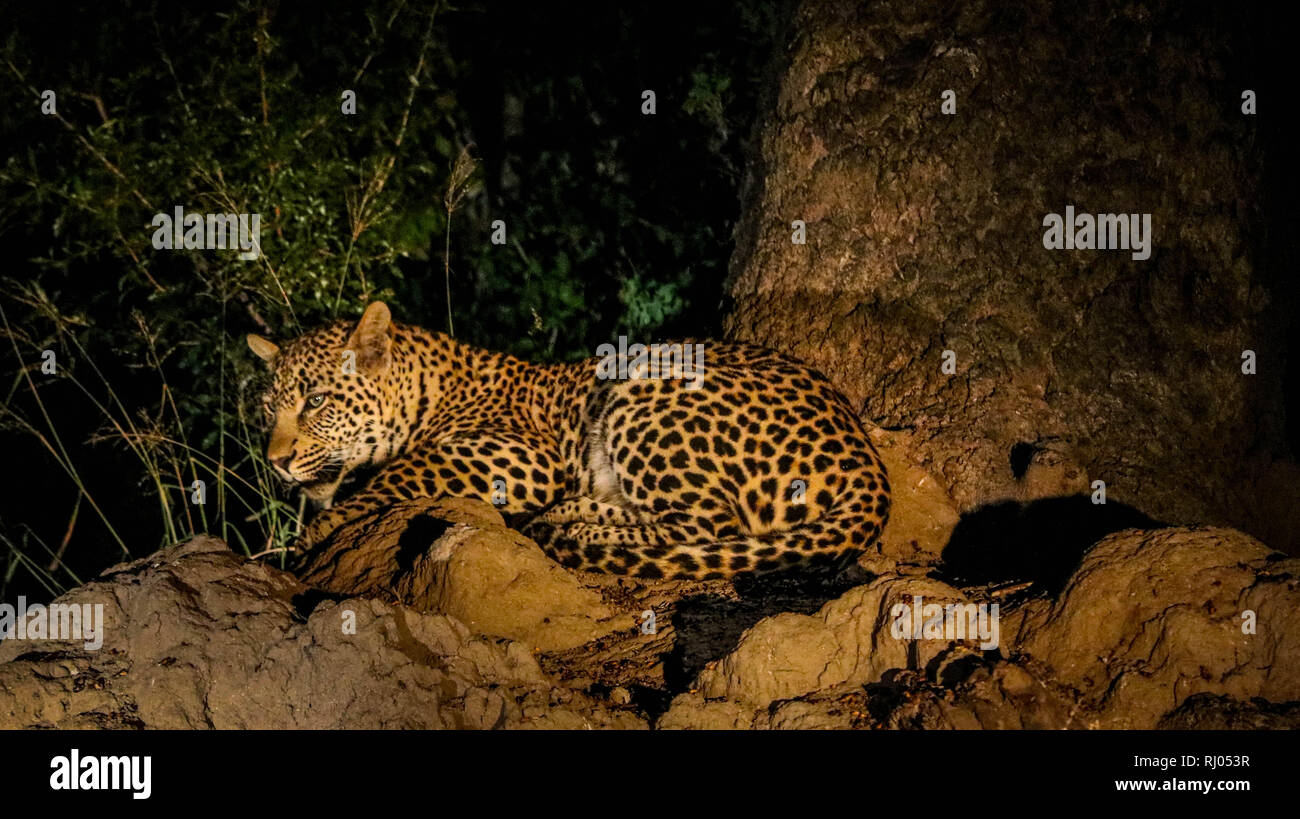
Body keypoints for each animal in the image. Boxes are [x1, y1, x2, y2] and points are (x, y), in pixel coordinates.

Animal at [247, 301, 891, 580]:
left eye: (316, 401)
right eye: (268, 410)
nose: (275, 461)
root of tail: (866, 459)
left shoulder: (520, 456)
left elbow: (401, 472)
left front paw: (317, 532)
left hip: (648, 386)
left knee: (709, 526)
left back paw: (576, 530)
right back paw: (569, 516)